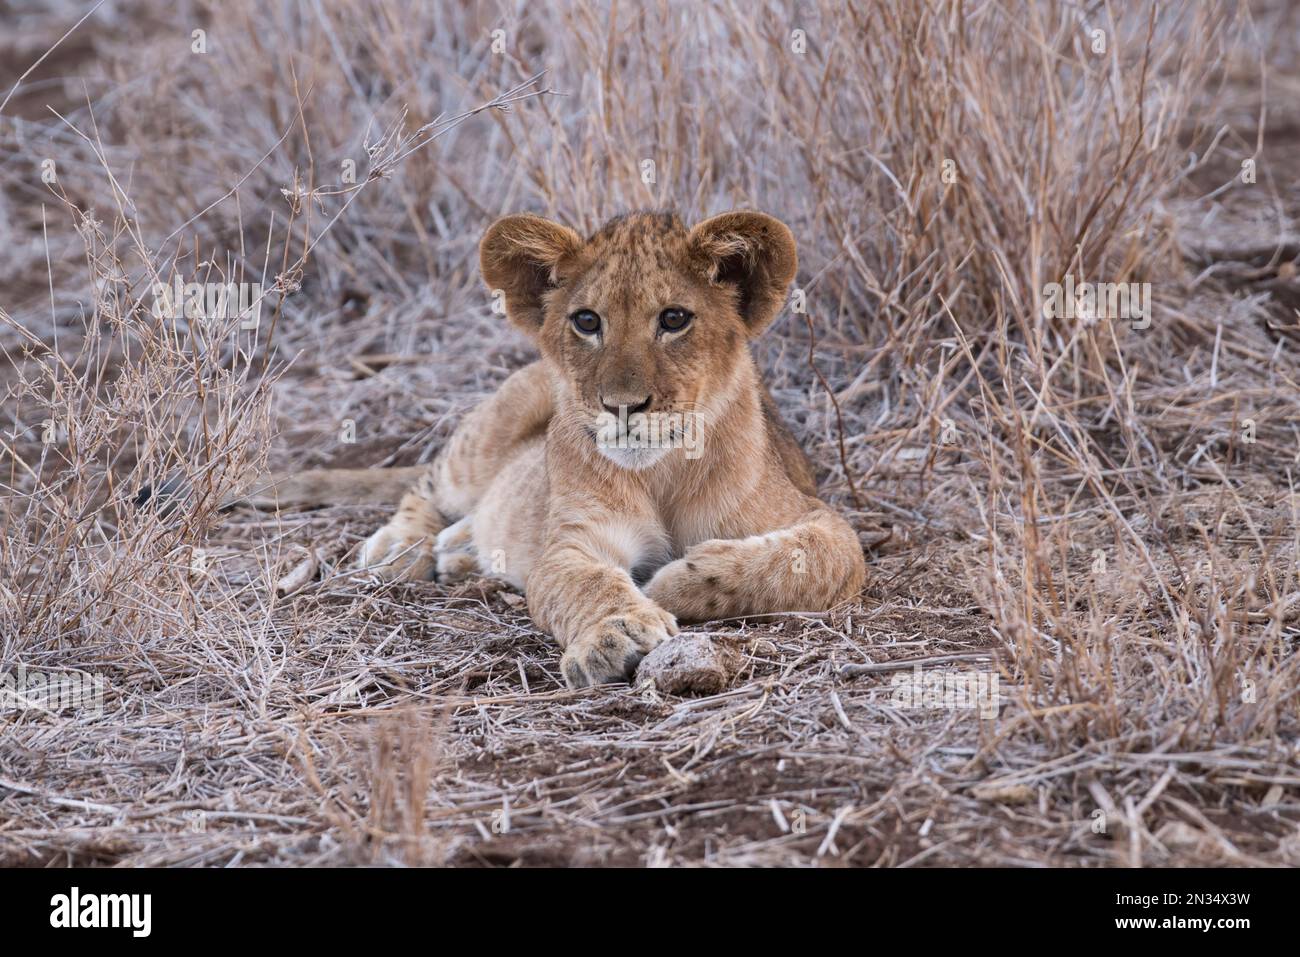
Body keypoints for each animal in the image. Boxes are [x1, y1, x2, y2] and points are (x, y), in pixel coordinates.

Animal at [271, 211, 866, 688]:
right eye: (587, 321)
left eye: (674, 319)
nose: (623, 406)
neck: (664, 473)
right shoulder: (574, 542)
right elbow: (583, 582)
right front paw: (617, 632)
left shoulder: (822, 519)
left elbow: (799, 562)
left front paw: (671, 582)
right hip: (494, 425)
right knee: (428, 485)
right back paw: (401, 546)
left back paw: (459, 552)